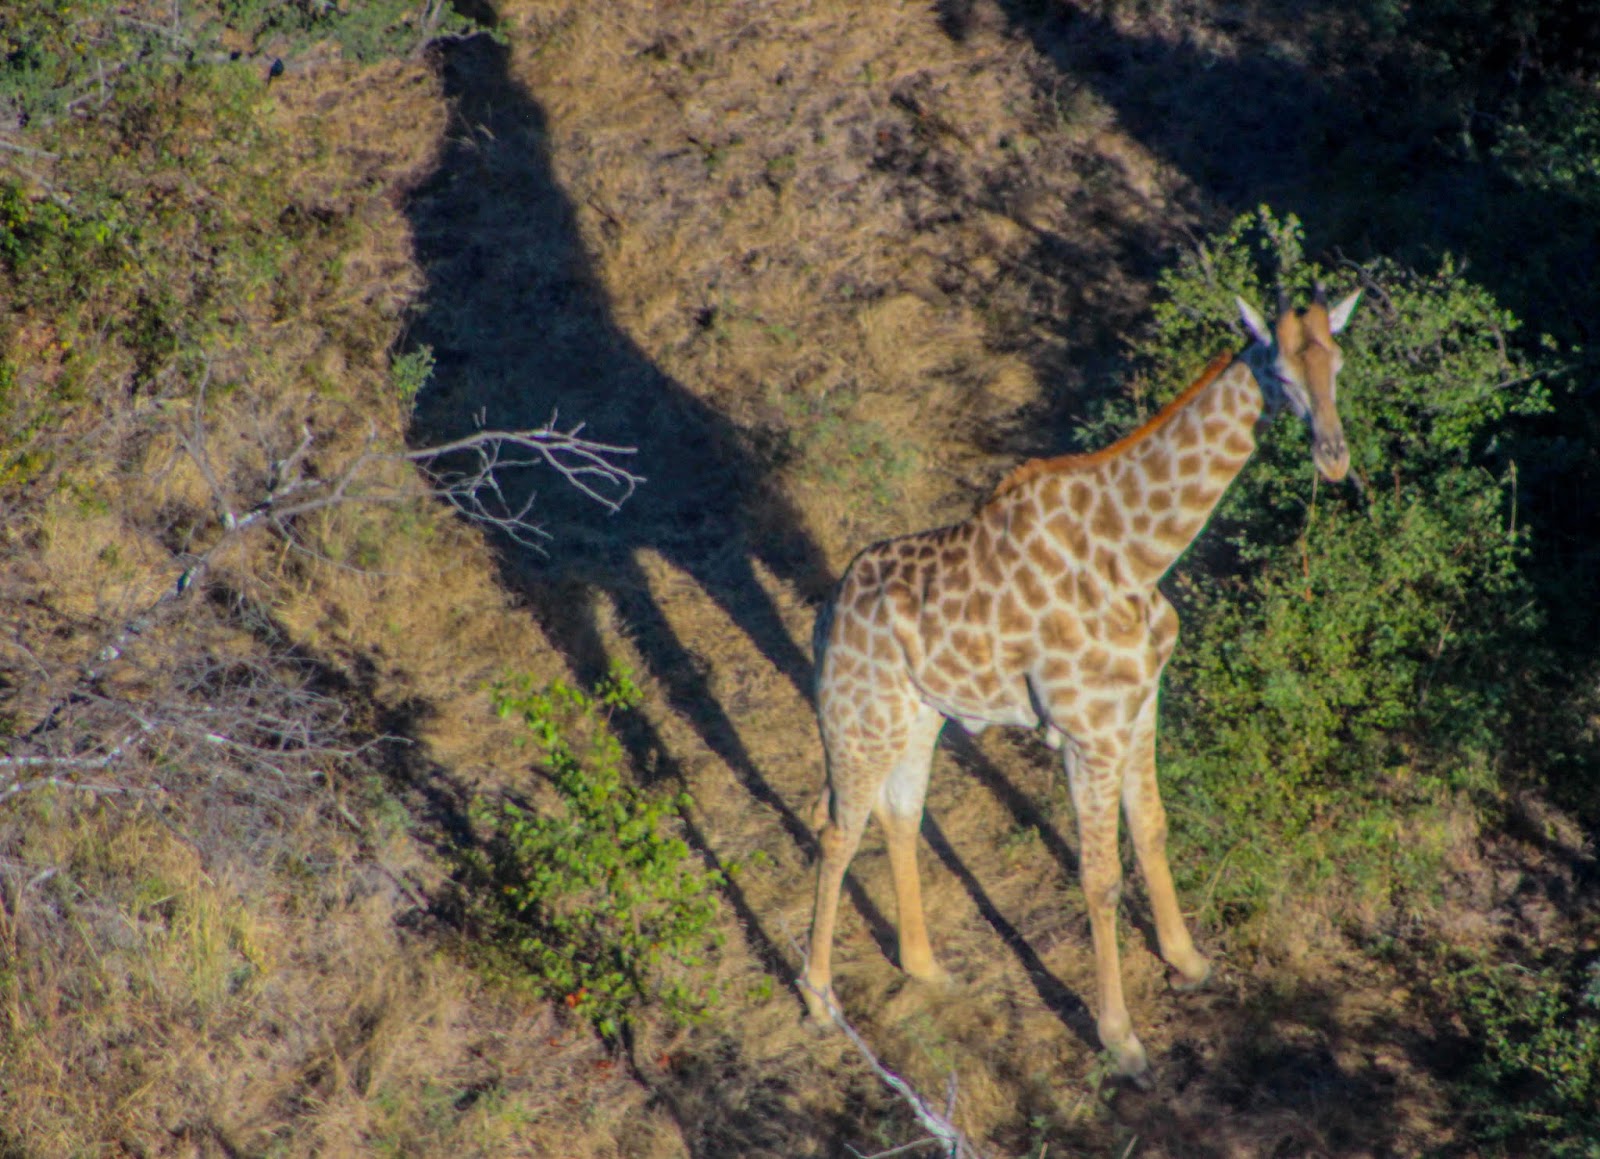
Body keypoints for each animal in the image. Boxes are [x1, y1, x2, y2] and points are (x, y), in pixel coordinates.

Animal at [801, 289, 1361, 1079]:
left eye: (1337, 362)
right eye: (1280, 371)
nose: (1334, 459)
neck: (1137, 555)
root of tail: (827, 614)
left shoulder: (1140, 703)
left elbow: (1152, 826)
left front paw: (1189, 962)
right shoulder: (1085, 730)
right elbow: (1099, 876)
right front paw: (1121, 1039)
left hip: (917, 716)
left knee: (901, 813)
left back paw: (925, 966)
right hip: (856, 719)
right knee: (836, 828)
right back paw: (820, 1000)